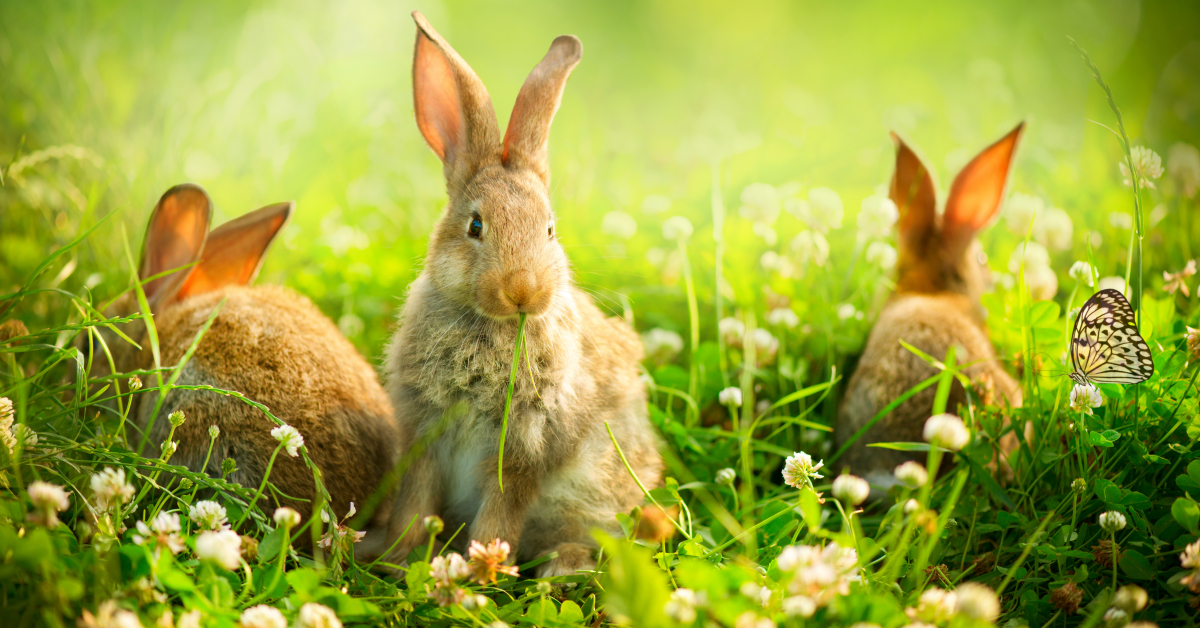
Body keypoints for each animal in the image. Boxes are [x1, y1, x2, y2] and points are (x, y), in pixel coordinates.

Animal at [369, 12, 662, 578]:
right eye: (475, 226)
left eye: (549, 230)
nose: (524, 290)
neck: (493, 326)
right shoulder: (425, 434)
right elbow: (415, 504)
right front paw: (399, 559)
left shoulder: (524, 450)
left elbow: (501, 515)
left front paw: (481, 570)